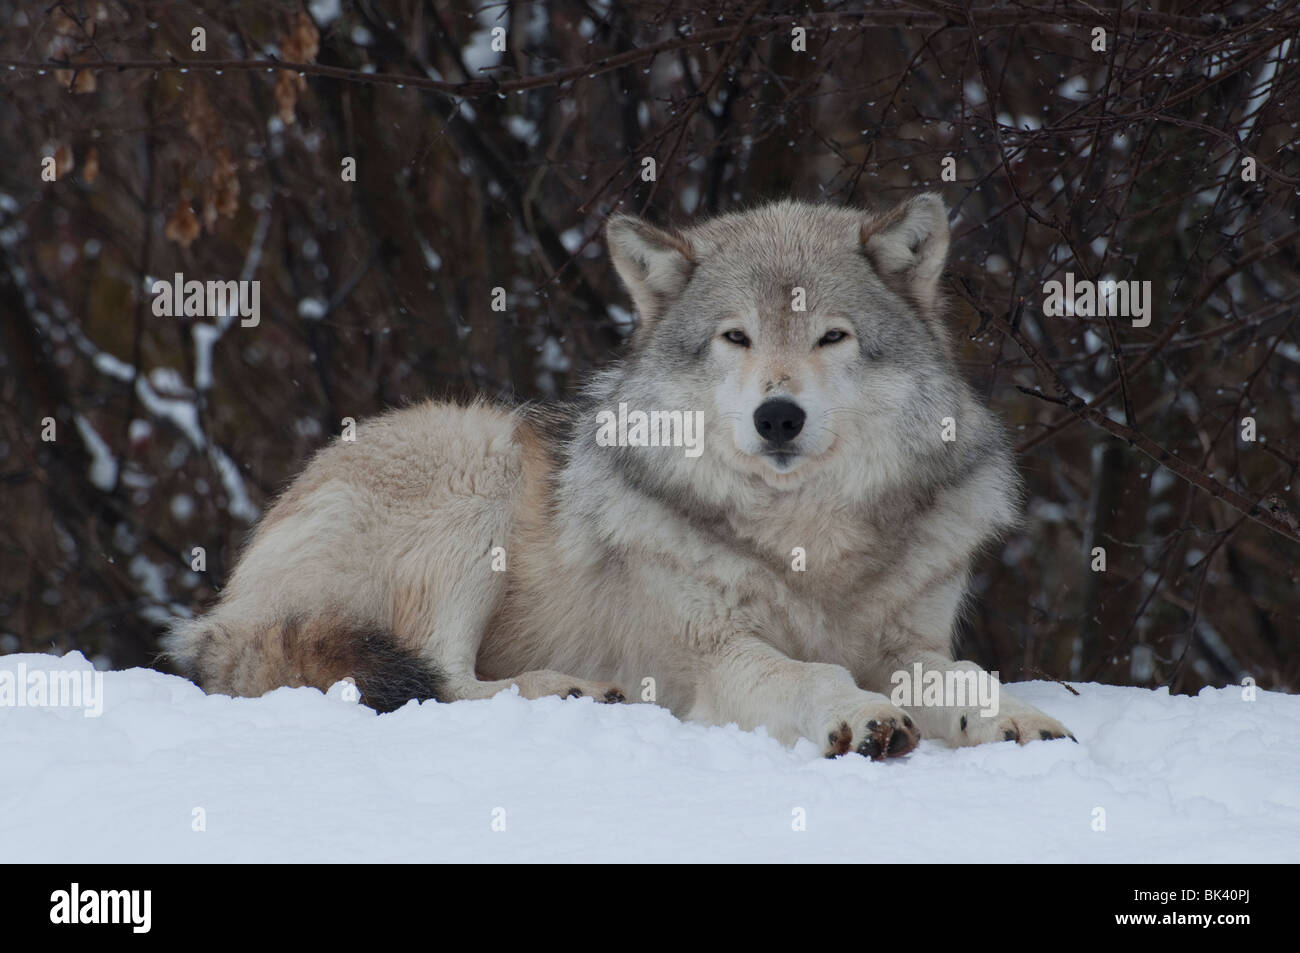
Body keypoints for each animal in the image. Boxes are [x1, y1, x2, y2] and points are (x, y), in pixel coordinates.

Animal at [164, 194, 1073, 759]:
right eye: (736, 337)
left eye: (832, 336)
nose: (778, 417)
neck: (806, 537)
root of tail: (224, 609)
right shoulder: (711, 655)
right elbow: (810, 672)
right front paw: (860, 715)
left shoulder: (912, 643)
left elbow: (966, 677)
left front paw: (1023, 721)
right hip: (475, 458)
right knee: (438, 681)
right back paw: (571, 692)